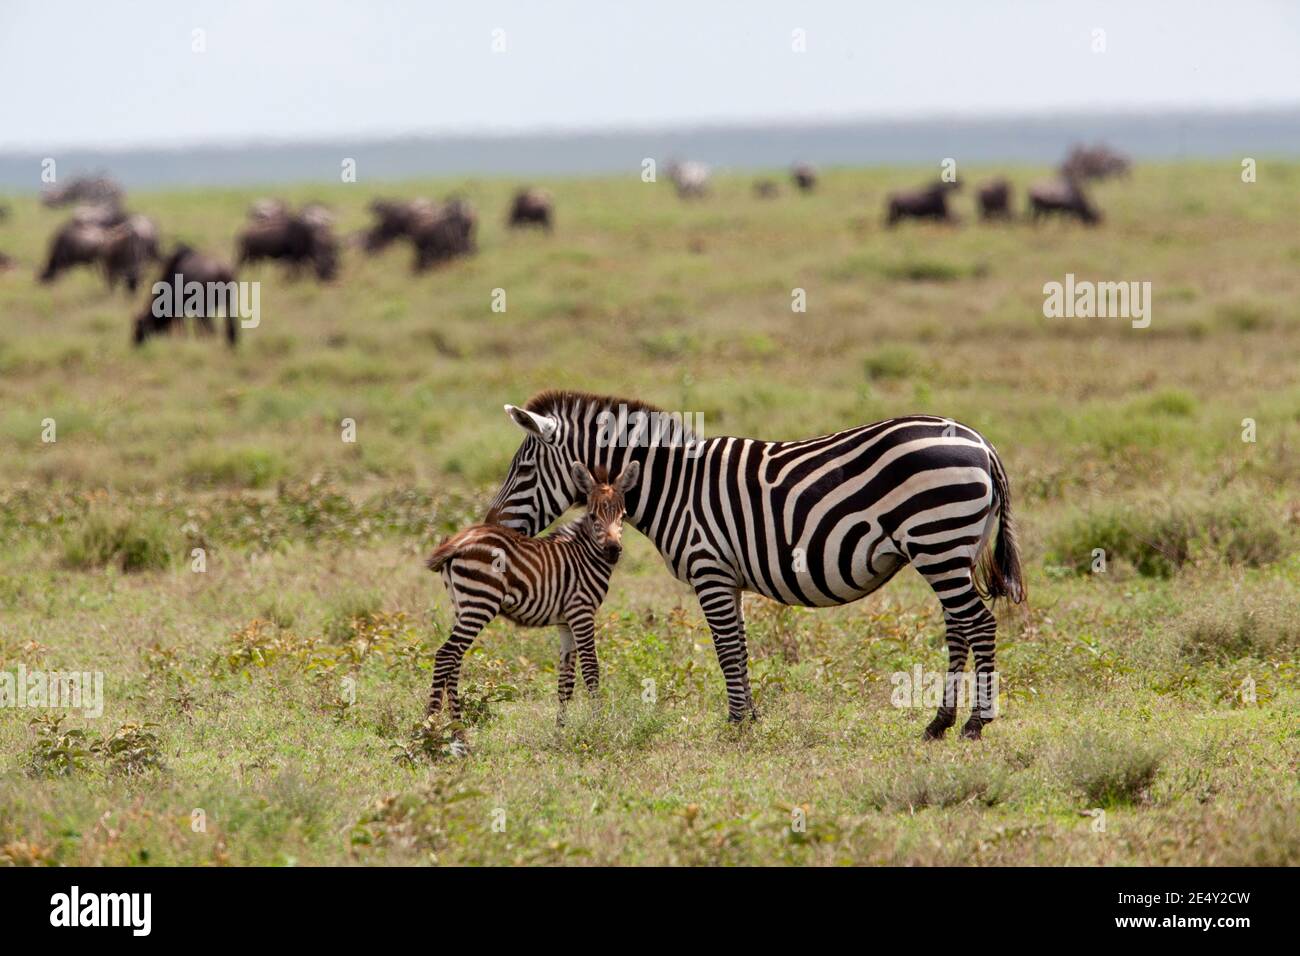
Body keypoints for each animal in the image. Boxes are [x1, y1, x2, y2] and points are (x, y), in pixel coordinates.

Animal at [425, 460, 641, 730]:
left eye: (622, 516)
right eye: (593, 516)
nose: (612, 551)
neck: (584, 554)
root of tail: (460, 539)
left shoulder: (565, 621)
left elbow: (565, 681)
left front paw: (560, 730)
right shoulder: (581, 611)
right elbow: (591, 669)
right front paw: (599, 724)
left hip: (462, 604)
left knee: (455, 659)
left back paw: (457, 728)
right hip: (480, 602)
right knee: (446, 655)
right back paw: (429, 725)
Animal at [486, 391, 1025, 740]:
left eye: (523, 469)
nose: (491, 526)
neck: (673, 486)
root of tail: (980, 441)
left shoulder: (709, 569)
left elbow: (726, 650)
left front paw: (735, 726)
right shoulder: (730, 578)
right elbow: (741, 649)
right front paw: (752, 718)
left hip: (939, 542)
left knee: (979, 623)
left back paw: (975, 724)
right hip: (948, 551)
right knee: (959, 628)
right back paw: (938, 723)